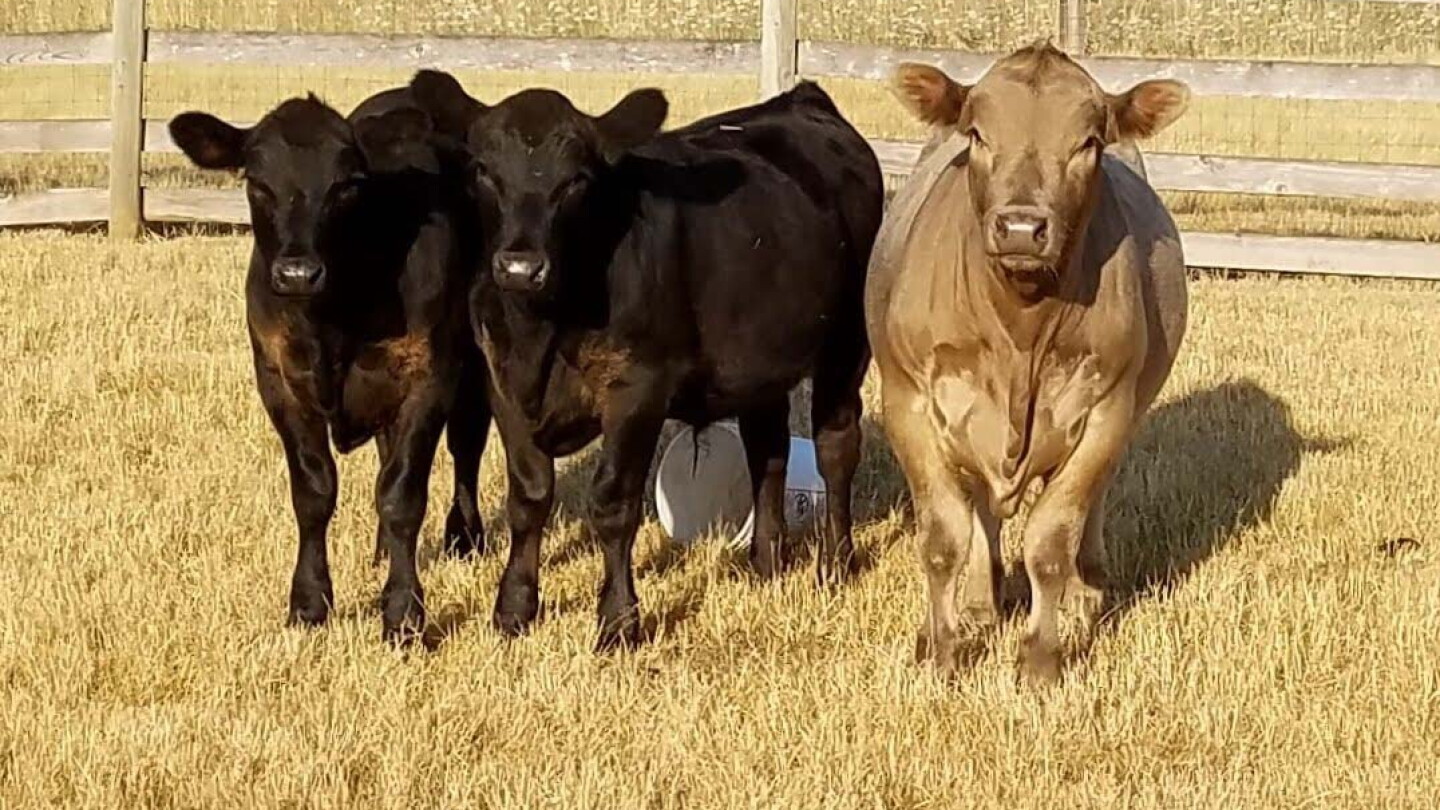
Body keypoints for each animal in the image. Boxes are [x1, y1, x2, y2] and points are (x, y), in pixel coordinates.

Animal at [168, 88, 492, 643]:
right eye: (257, 182)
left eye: (346, 185)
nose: (298, 273)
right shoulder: (278, 381)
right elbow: (315, 492)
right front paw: (308, 604)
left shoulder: (430, 377)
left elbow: (403, 495)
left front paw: (404, 612)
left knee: (465, 450)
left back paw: (464, 538)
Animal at [409, 71, 884, 650]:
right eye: (483, 170)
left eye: (577, 180)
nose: (521, 267)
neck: (541, 332)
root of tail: (802, 100)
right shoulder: (504, 385)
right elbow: (529, 498)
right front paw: (514, 610)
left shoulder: (636, 389)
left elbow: (613, 503)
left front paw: (618, 621)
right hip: (757, 365)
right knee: (767, 449)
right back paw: (766, 562)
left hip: (847, 342)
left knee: (836, 446)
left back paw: (835, 565)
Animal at [865, 42, 1190, 683]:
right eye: (977, 132)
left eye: (1088, 141)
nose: (1020, 226)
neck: (1021, 327)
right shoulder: (908, 400)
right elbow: (943, 536)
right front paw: (941, 651)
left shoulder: (1107, 408)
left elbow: (1051, 540)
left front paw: (1040, 658)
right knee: (984, 511)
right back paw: (979, 602)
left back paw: (1086, 591)